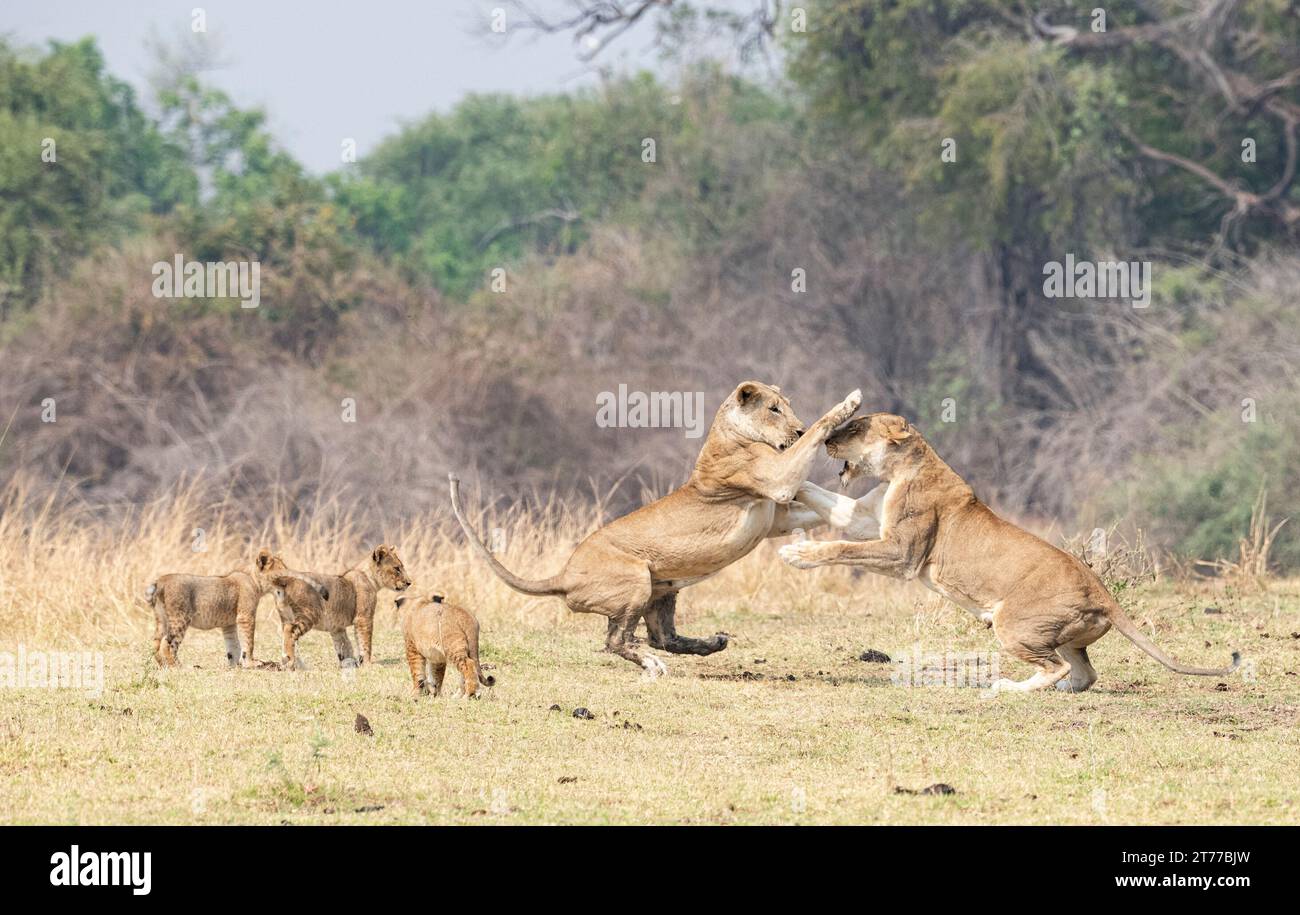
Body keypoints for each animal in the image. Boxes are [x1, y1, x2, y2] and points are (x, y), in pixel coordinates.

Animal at [141, 549, 328, 668]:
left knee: (155, 642)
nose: (289, 583)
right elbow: (249, 642)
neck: (255, 581)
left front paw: (236, 664)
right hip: (180, 619)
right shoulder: (245, 616)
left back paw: (162, 665)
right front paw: (251, 662)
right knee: (167, 643)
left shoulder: (229, 623)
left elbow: (234, 646)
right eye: (282, 574)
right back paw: (178, 667)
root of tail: (160, 580)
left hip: (162, 619)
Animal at [271, 544, 412, 670]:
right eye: (397, 568)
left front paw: (350, 664)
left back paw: (292, 663)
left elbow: (344, 645)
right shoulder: (363, 618)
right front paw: (368, 664)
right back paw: (288, 659)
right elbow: (365, 643)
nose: (409, 582)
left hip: (286, 616)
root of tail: (287, 579)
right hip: (309, 614)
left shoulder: (337, 627)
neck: (370, 578)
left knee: (288, 635)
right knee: (290, 630)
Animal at [450, 381, 862, 676]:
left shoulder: (777, 518)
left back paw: (712, 643)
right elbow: (815, 436)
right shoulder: (777, 480)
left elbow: (821, 511)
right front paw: (849, 403)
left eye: (786, 405)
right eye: (774, 409)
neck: (732, 434)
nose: (797, 429)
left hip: (663, 591)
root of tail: (563, 576)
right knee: (618, 640)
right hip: (636, 581)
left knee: (662, 637)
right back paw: (655, 665)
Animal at [778, 413, 1241, 692]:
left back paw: (1012, 688)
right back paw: (1059, 690)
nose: (826, 441)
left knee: (1055, 667)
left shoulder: (901, 553)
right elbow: (823, 499)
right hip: (1065, 635)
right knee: (1084, 673)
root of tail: (1104, 594)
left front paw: (796, 555)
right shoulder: (865, 519)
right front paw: (785, 482)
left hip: (1012, 623)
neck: (899, 470)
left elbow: (841, 547)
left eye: (856, 428)